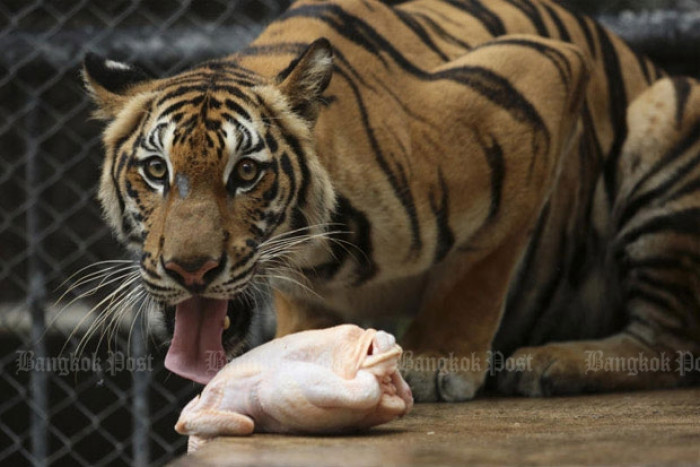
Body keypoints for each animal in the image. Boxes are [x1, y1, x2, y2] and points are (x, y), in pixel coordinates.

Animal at [82, 0, 700, 402]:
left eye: (247, 173)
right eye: (156, 170)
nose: (190, 270)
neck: (319, 257)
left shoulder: (541, 74)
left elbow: (477, 270)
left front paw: (439, 362)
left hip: (672, 110)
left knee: (671, 345)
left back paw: (549, 363)